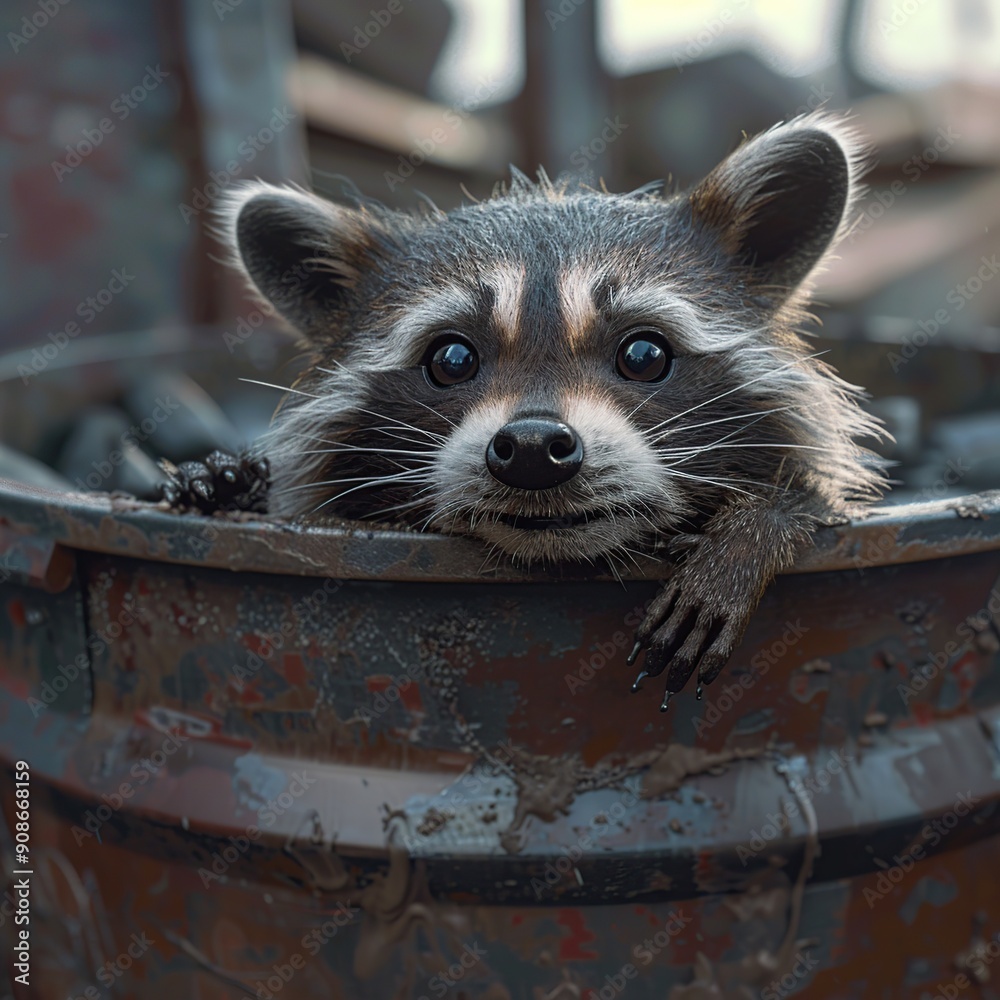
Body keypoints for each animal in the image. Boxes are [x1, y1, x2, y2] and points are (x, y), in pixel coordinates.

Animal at [179, 112, 886, 712]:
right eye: (453, 359)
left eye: (644, 353)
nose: (531, 446)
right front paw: (224, 486)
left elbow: (814, 503)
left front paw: (752, 528)